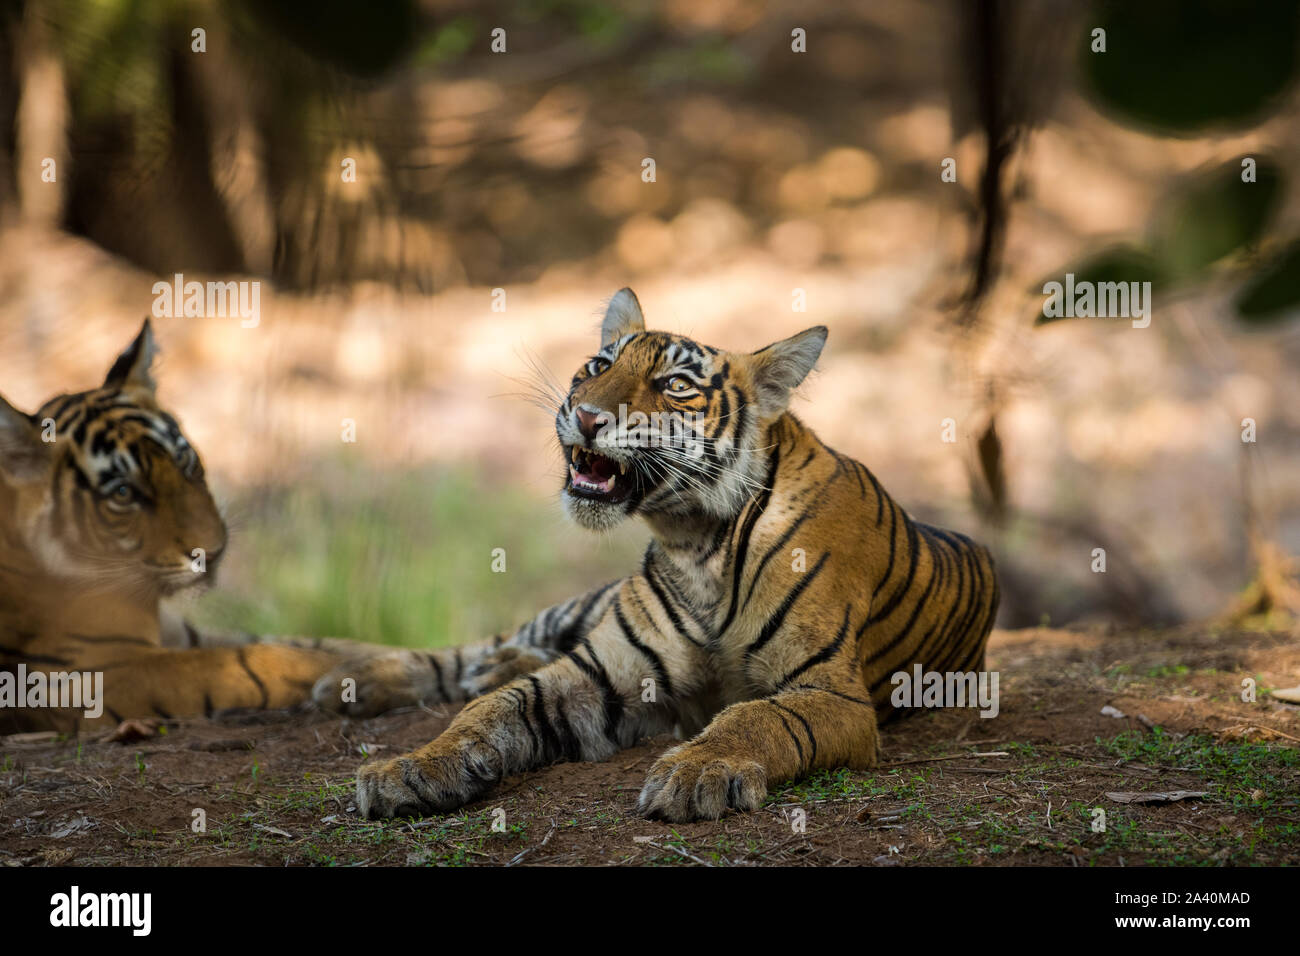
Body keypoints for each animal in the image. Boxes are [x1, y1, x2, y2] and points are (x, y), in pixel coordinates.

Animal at [0, 319, 502, 733]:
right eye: (123, 493)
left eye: (184, 461)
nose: (212, 551)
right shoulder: (87, 672)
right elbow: (253, 661)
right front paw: (341, 678)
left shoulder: (181, 634)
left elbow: (327, 640)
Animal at [350, 288, 1000, 822]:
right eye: (599, 366)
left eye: (676, 386)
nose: (586, 416)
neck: (694, 540)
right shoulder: (602, 671)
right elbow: (490, 710)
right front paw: (409, 768)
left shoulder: (829, 691)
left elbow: (756, 716)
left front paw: (696, 772)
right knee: (481, 651)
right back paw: (361, 680)